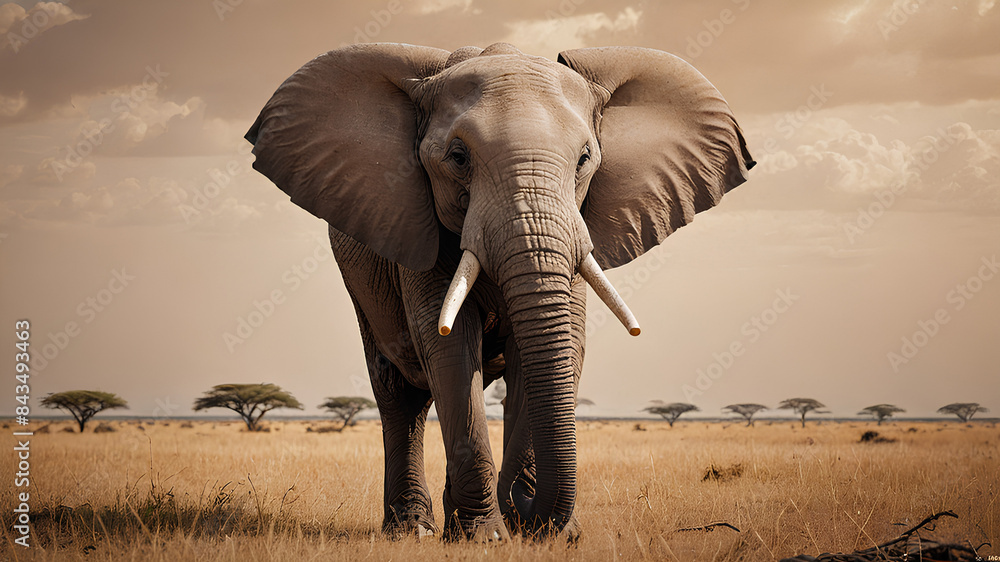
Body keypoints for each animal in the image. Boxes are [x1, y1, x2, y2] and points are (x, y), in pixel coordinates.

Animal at [245, 42, 753, 540]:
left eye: (584, 159)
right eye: (458, 157)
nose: (523, 508)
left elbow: (557, 344)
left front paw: (542, 530)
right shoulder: (418, 230)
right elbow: (448, 346)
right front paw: (485, 536)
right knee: (398, 388)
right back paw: (414, 530)